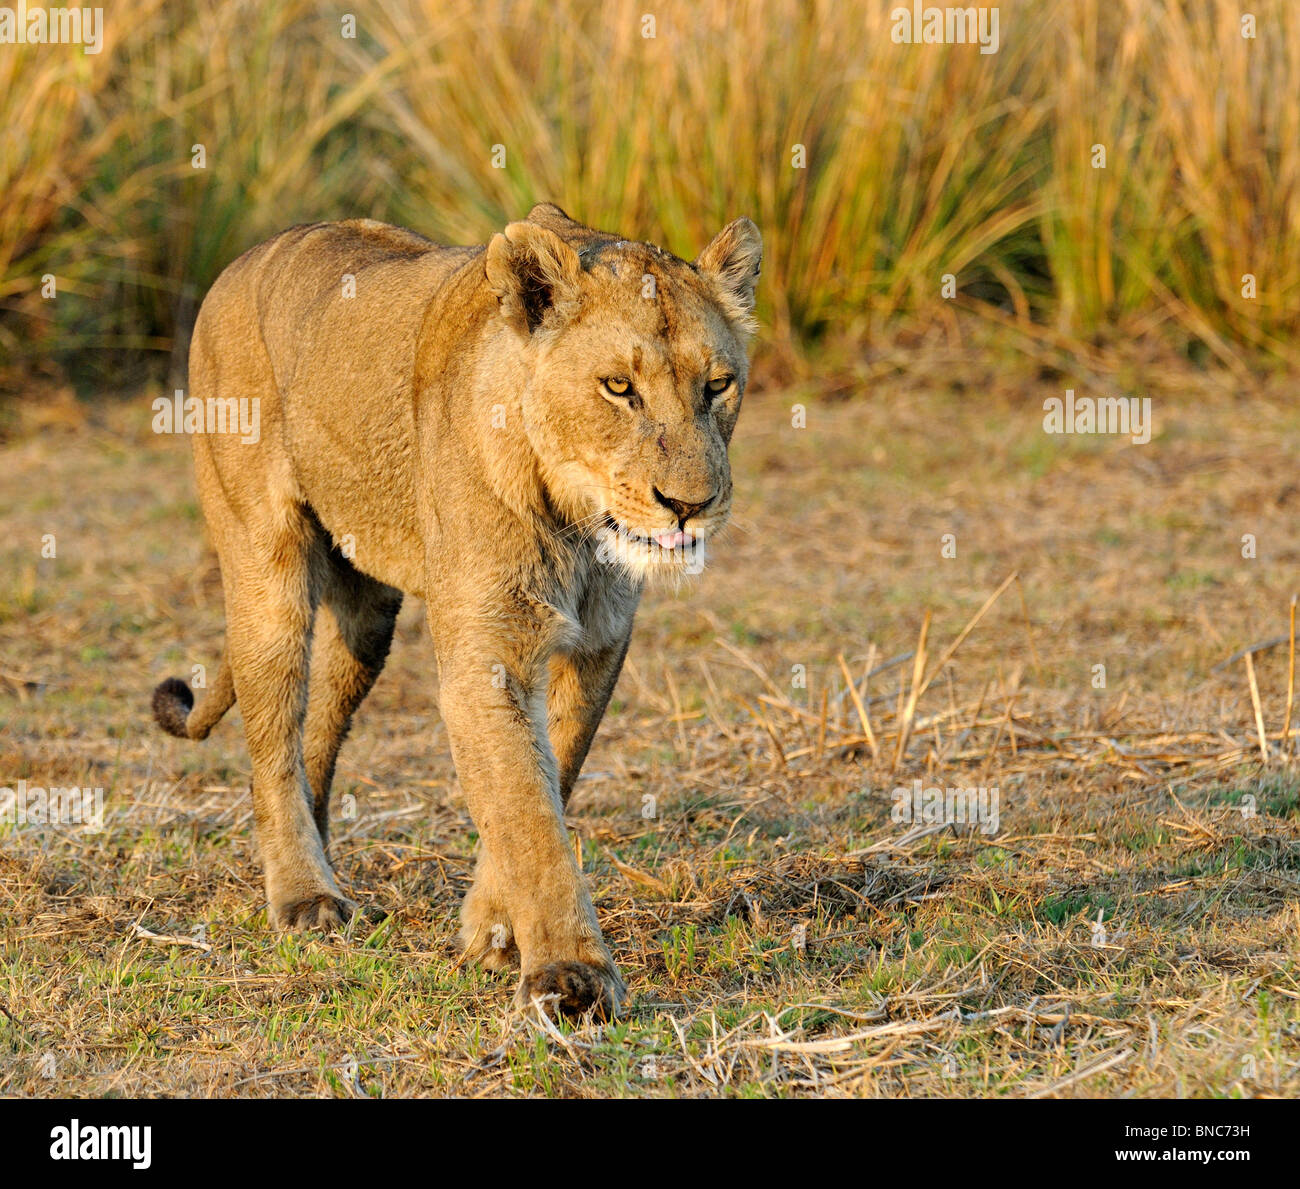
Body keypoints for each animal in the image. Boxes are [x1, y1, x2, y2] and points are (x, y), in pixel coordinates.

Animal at [151, 202, 761, 1018]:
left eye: (718, 384)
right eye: (617, 387)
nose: (691, 505)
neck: (576, 523)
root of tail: (243, 259)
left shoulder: (599, 644)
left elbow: (549, 777)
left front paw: (494, 932)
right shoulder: (487, 657)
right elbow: (527, 809)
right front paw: (569, 974)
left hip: (369, 615)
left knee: (321, 725)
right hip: (261, 560)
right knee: (271, 734)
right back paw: (306, 895)